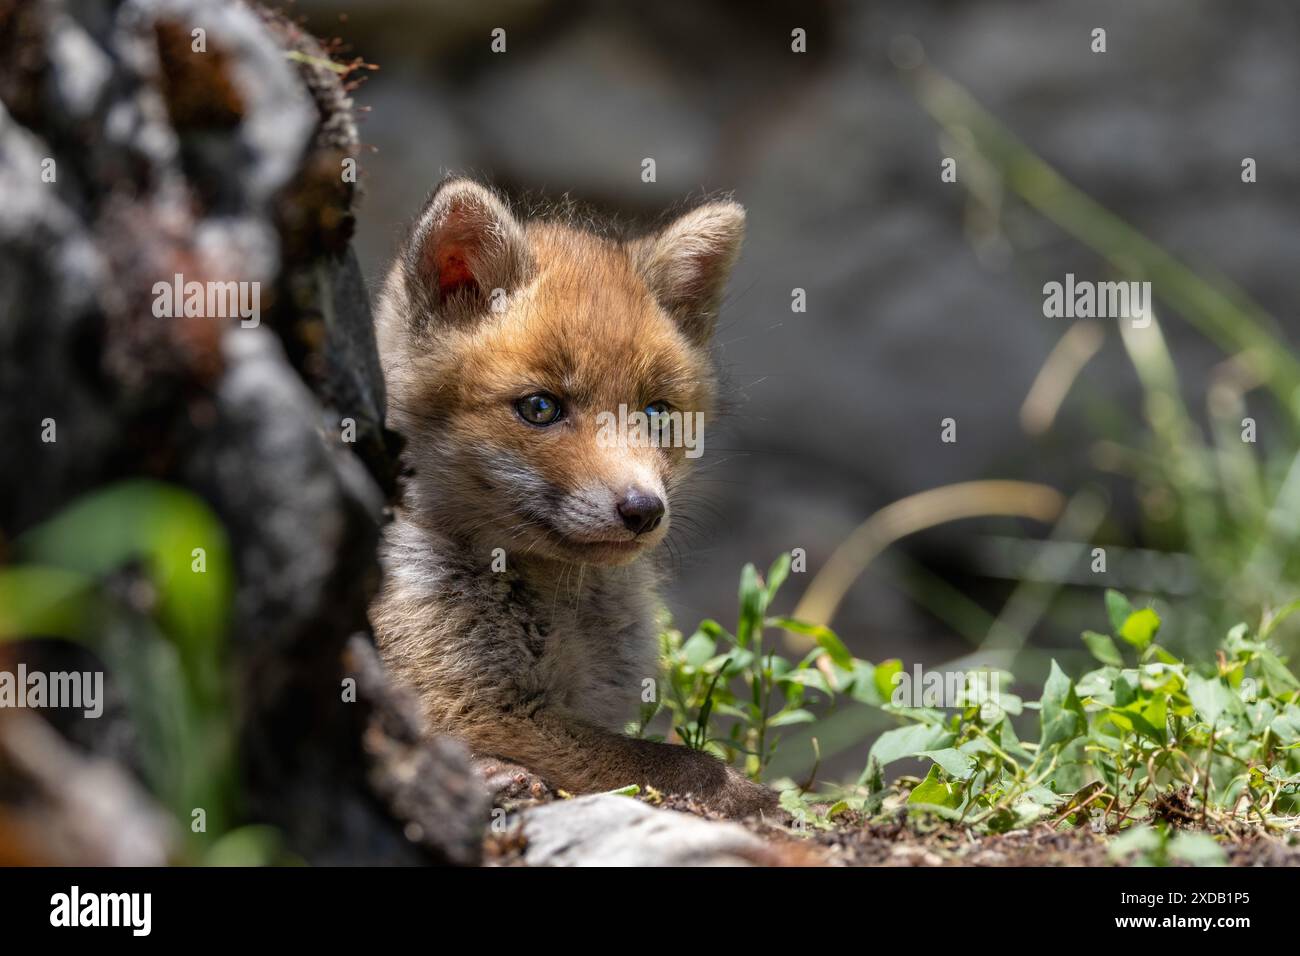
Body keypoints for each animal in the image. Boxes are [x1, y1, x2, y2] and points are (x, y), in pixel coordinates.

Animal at [369, 176, 776, 818]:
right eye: (540, 407)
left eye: (657, 413)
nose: (644, 511)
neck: (562, 610)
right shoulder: (464, 703)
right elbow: (664, 760)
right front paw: (742, 792)